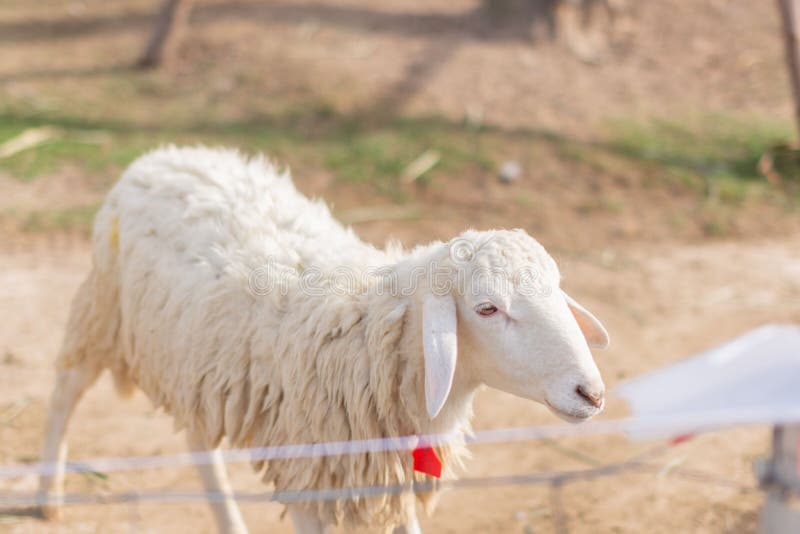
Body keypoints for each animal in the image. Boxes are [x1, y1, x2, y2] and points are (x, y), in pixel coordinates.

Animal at [37, 146, 609, 534]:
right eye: (487, 308)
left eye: (557, 287)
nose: (592, 393)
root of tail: (163, 154)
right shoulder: (309, 473)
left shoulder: (392, 475)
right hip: (102, 311)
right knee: (65, 392)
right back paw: (48, 494)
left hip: (192, 355)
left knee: (198, 441)